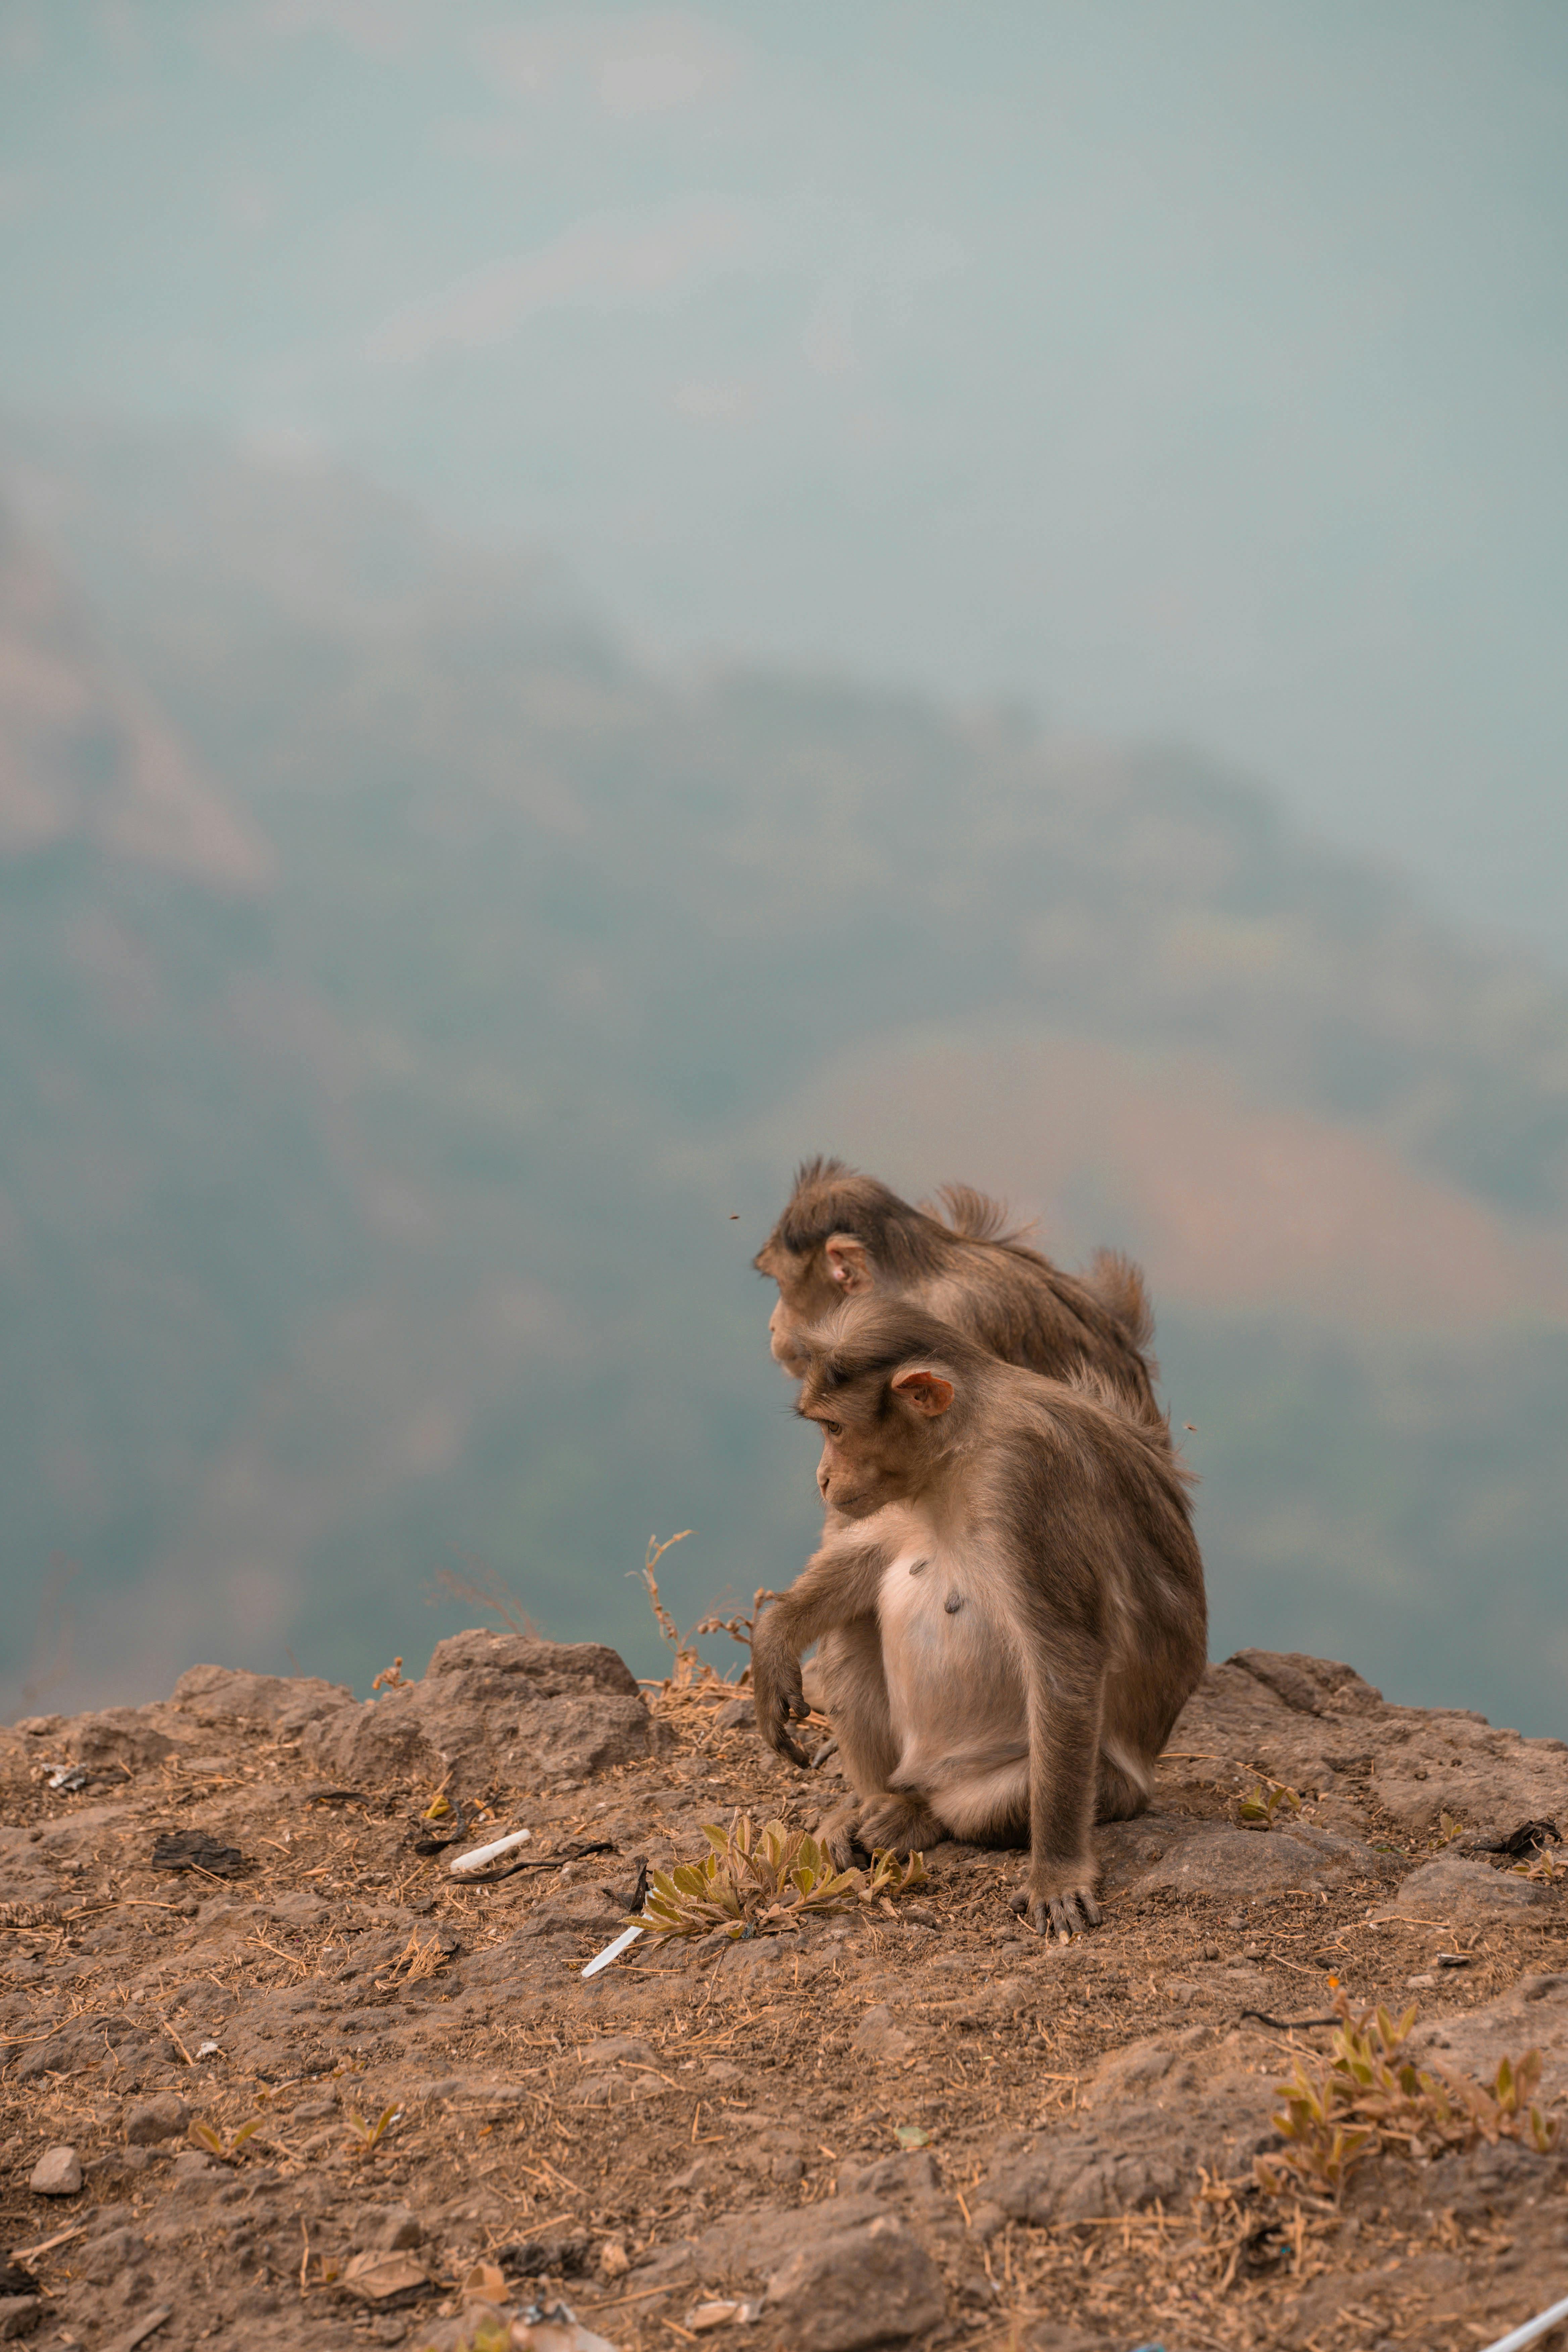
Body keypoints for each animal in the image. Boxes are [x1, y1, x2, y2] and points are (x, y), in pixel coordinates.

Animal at [748, 1297, 1207, 1937]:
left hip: (1088, 1788)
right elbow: (869, 1555)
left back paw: (914, 1816)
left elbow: (1066, 1659)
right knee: (851, 1623)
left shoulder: (1025, 1477)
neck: (961, 1448)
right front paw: (773, 1637)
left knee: (998, 1800)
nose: (823, 1478)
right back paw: (877, 1804)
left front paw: (1057, 1874)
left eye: (835, 1429)